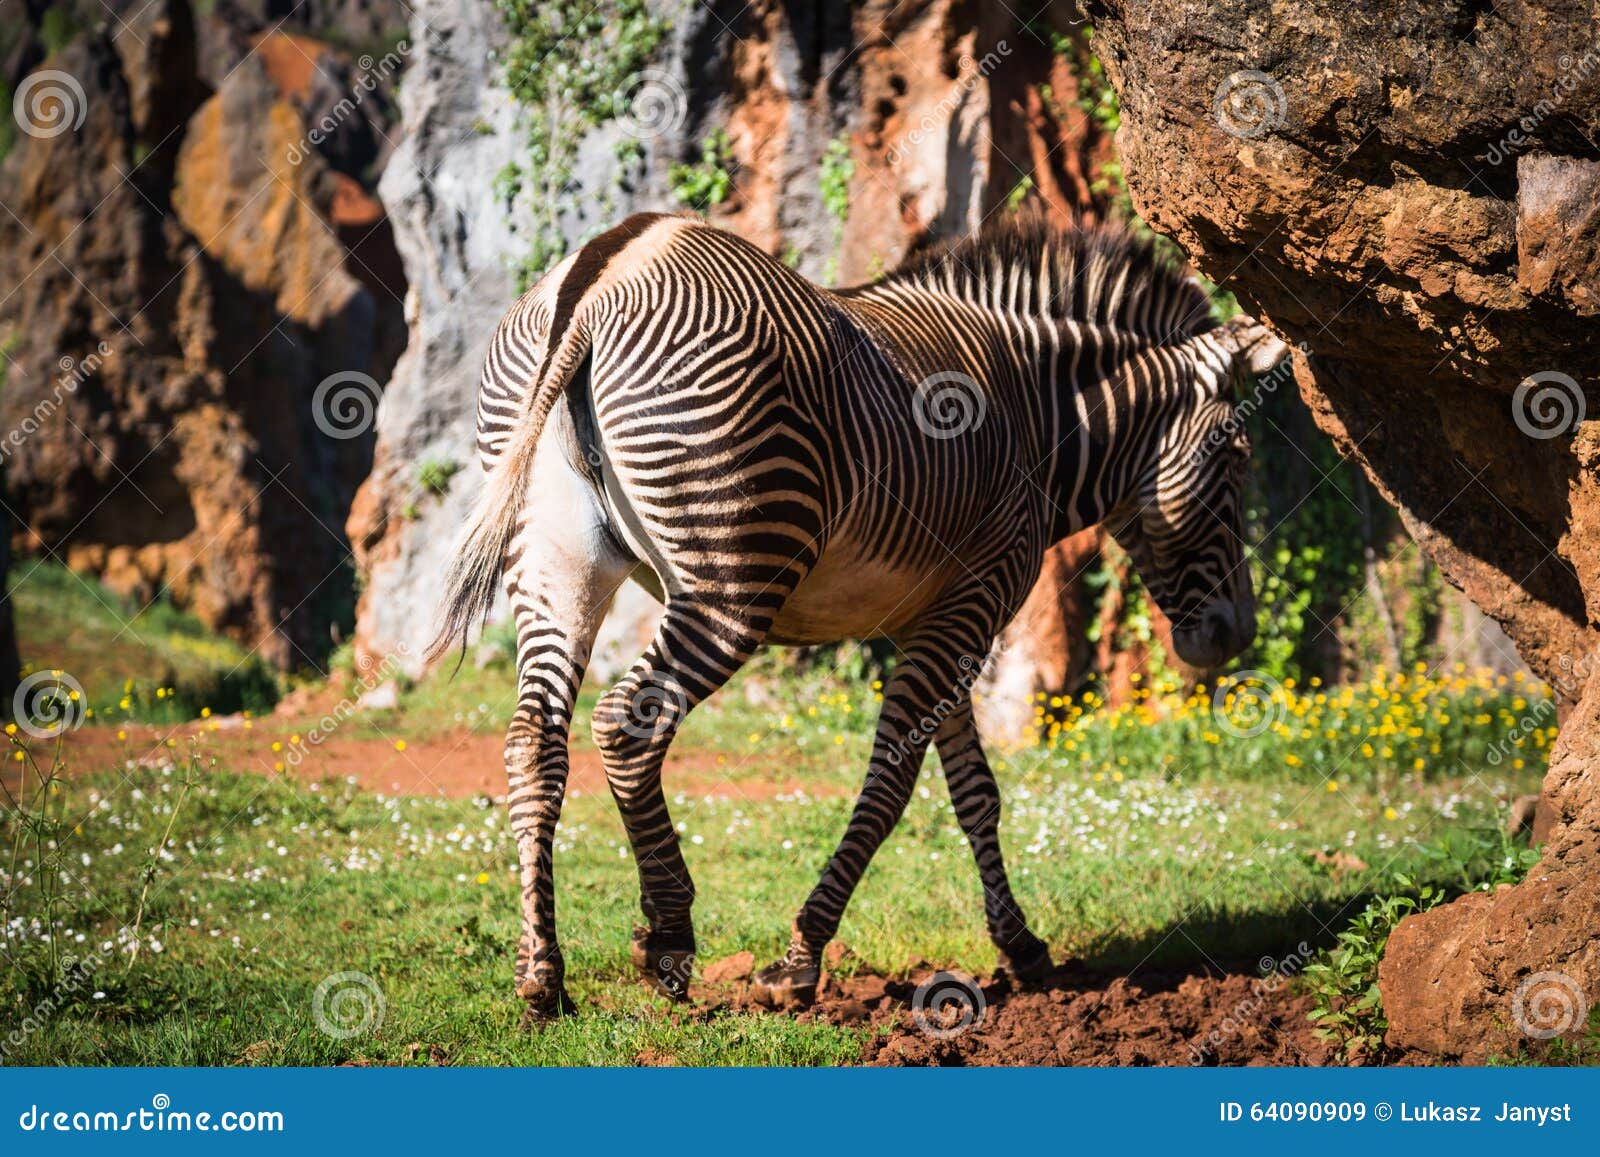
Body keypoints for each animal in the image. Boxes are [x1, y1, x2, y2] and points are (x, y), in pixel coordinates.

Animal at [429, 210, 1289, 1020]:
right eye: (1237, 455)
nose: (1233, 635)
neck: (1037, 417)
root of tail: (604, 270)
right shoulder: (972, 603)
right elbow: (891, 784)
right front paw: (799, 958)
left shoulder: (935, 613)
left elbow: (975, 790)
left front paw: (1021, 946)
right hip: (734, 575)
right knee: (628, 723)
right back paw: (669, 936)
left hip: (556, 561)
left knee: (532, 739)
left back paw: (542, 974)